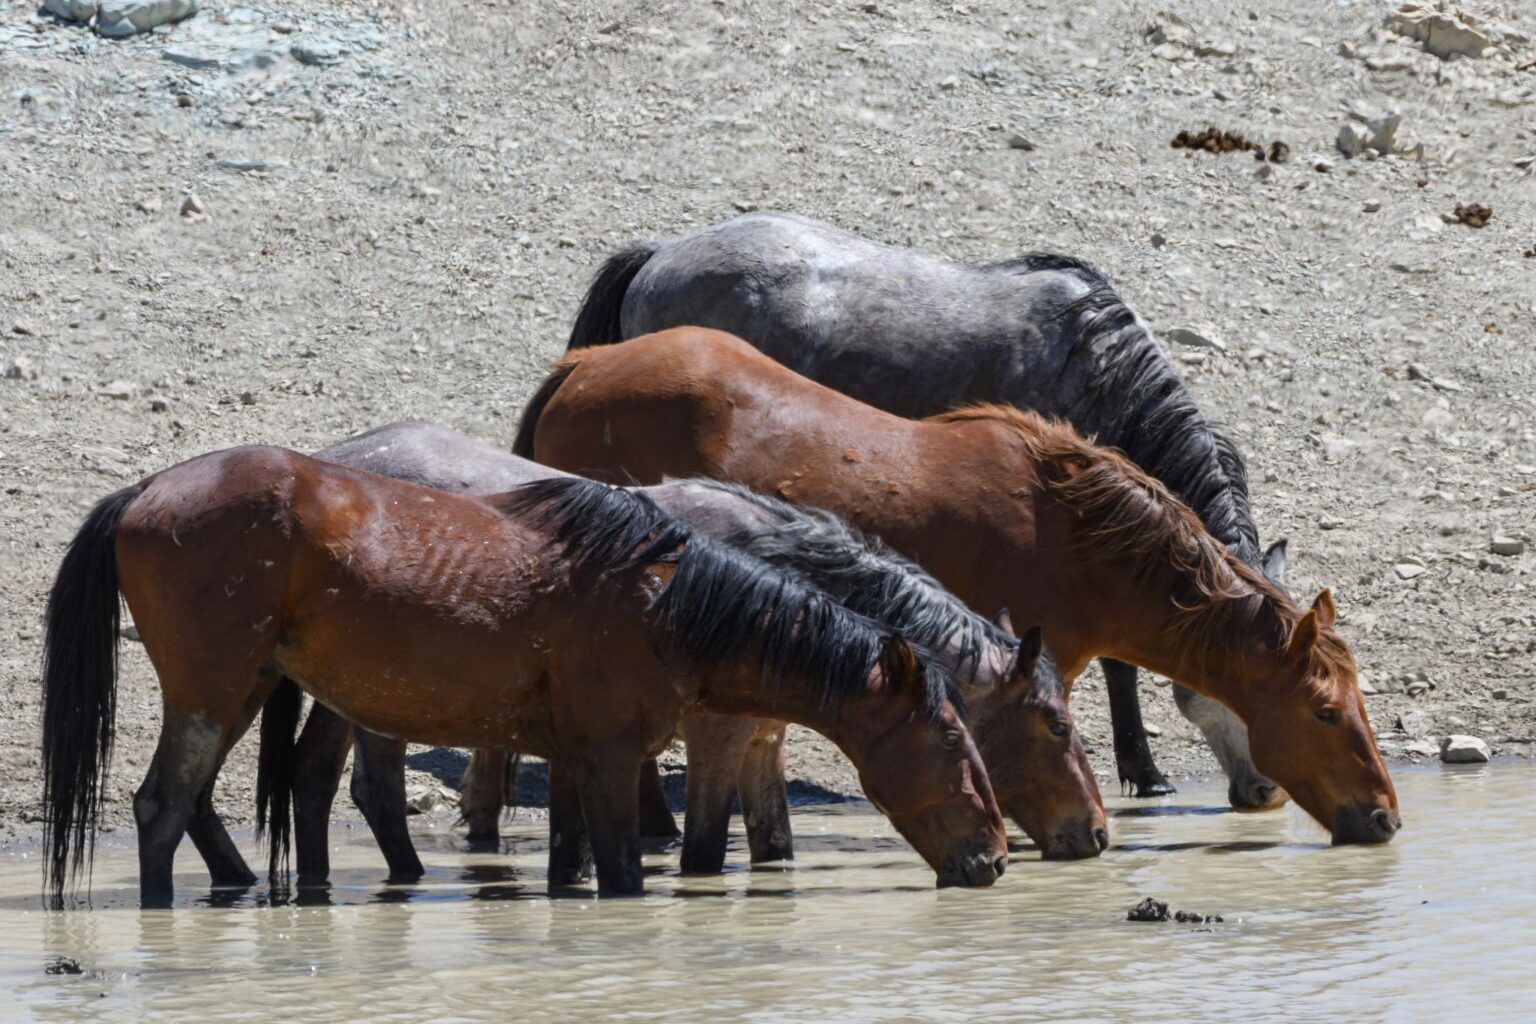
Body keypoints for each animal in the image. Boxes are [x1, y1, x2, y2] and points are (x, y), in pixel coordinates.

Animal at [39, 446, 1010, 903]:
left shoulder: (577, 761)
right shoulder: (614, 760)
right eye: (952, 743)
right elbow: (621, 875)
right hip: (213, 691)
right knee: (163, 807)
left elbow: (569, 873)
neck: (667, 607)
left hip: (244, 690)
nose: (997, 858)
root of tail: (147, 490)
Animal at [251, 422, 1103, 888]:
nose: (1096, 832)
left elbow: (772, 848)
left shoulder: (760, 742)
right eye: (1058, 727)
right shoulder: (715, 740)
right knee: (371, 788)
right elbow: (700, 852)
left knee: (316, 779)